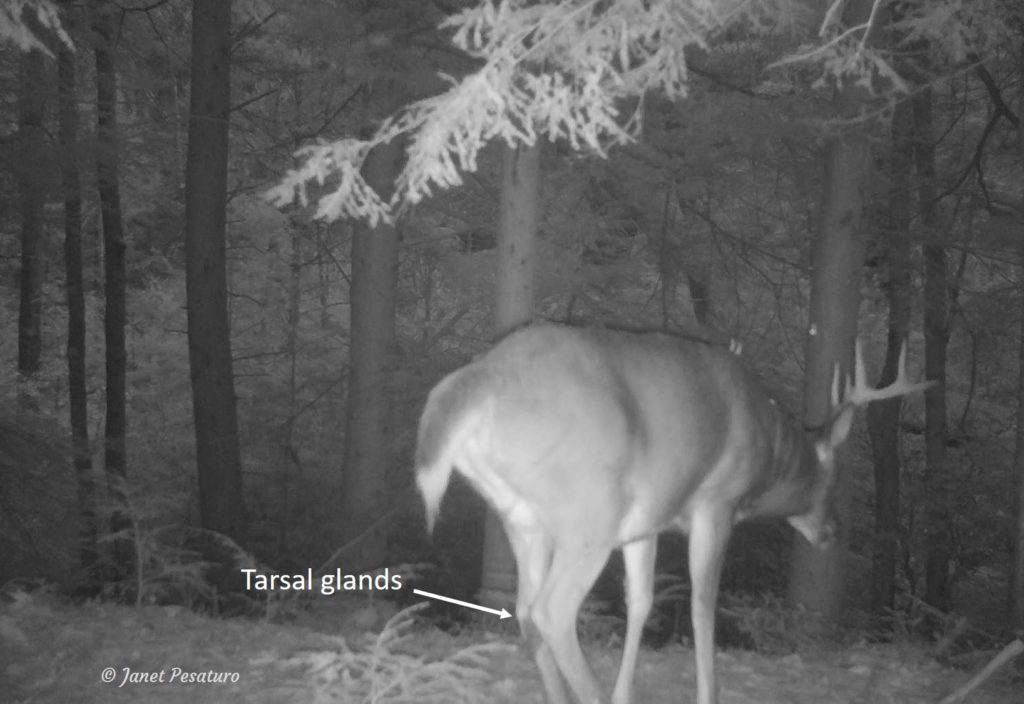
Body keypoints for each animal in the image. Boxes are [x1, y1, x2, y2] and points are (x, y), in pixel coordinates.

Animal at [415, 324, 929, 704]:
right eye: (834, 481)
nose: (832, 533)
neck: (768, 452)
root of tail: (482, 379)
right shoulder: (716, 503)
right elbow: (703, 605)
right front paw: (708, 693)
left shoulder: (646, 523)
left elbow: (641, 601)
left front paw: (625, 693)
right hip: (588, 515)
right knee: (551, 611)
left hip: (523, 519)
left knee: (524, 609)